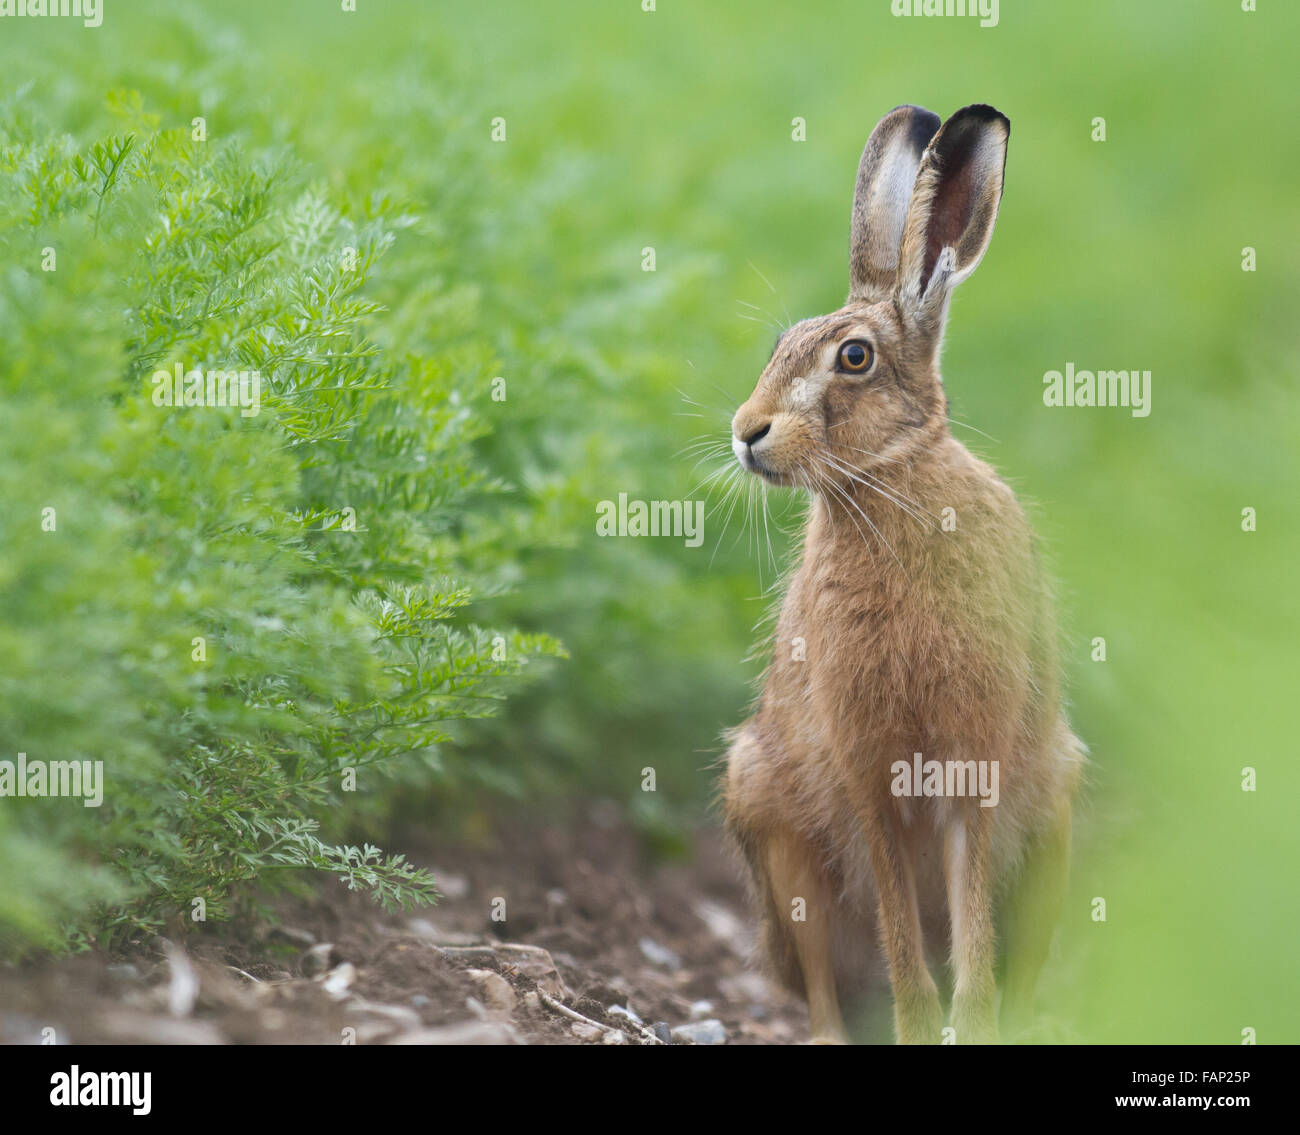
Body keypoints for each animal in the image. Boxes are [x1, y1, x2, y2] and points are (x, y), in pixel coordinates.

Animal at [722, 104, 1085, 1045]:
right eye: (780, 346)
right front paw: (925, 1024)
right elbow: (896, 918)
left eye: (854, 358)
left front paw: (971, 1021)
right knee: (820, 982)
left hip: (1055, 810)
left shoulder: (973, 759)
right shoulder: (864, 767)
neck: (888, 484)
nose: (747, 431)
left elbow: (970, 915)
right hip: (770, 826)